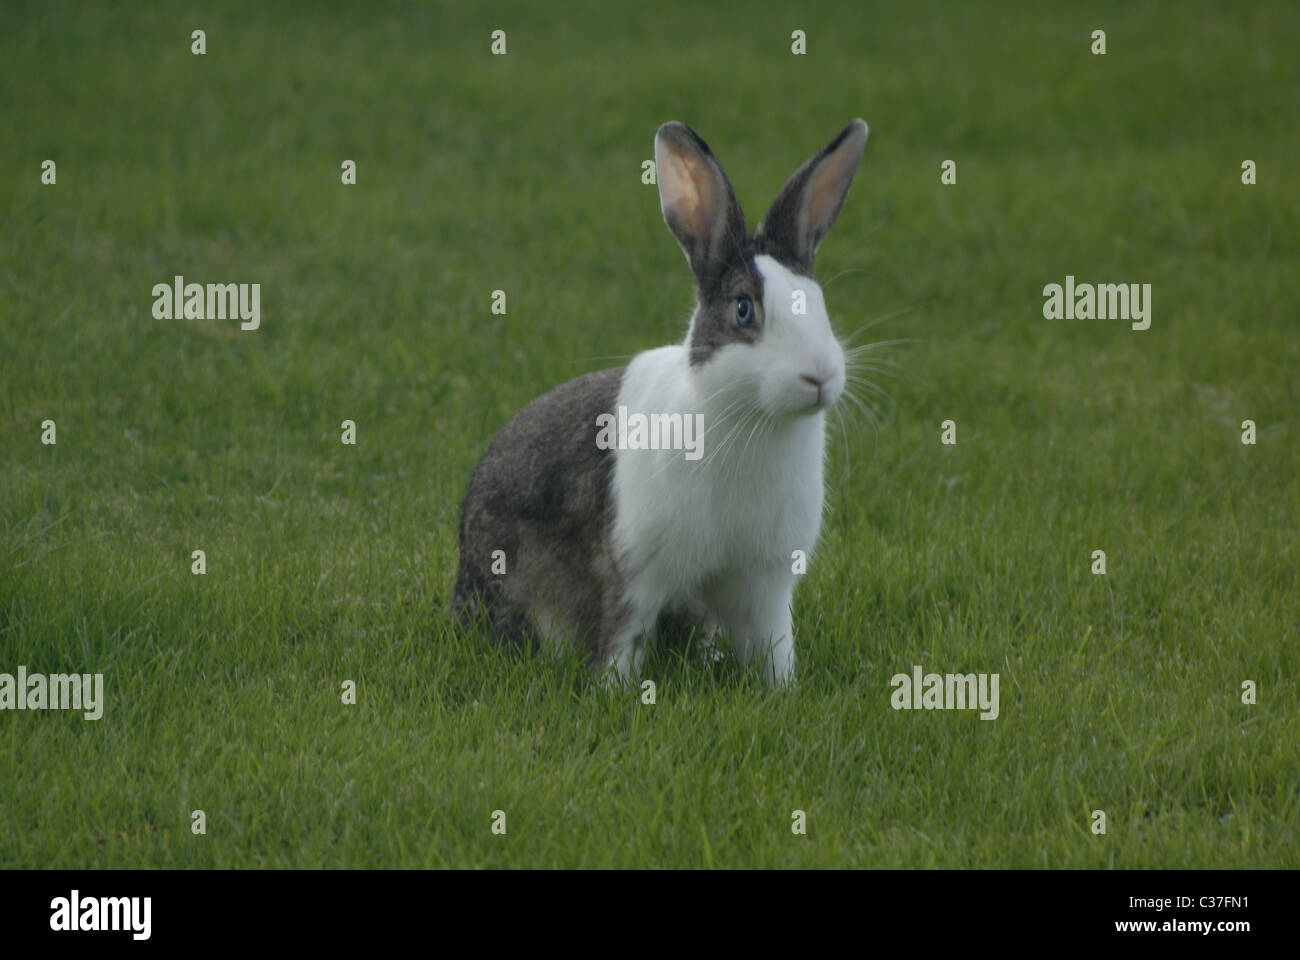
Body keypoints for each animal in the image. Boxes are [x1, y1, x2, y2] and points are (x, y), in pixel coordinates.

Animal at [452, 118, 869, 687]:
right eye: (744, 309)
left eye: (821, 304)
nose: (821, 376)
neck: (749, 419)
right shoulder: (634, 571)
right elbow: (623, 635)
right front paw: (614, 691)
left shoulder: (765, 582)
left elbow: (774, 645)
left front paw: (783, 691)